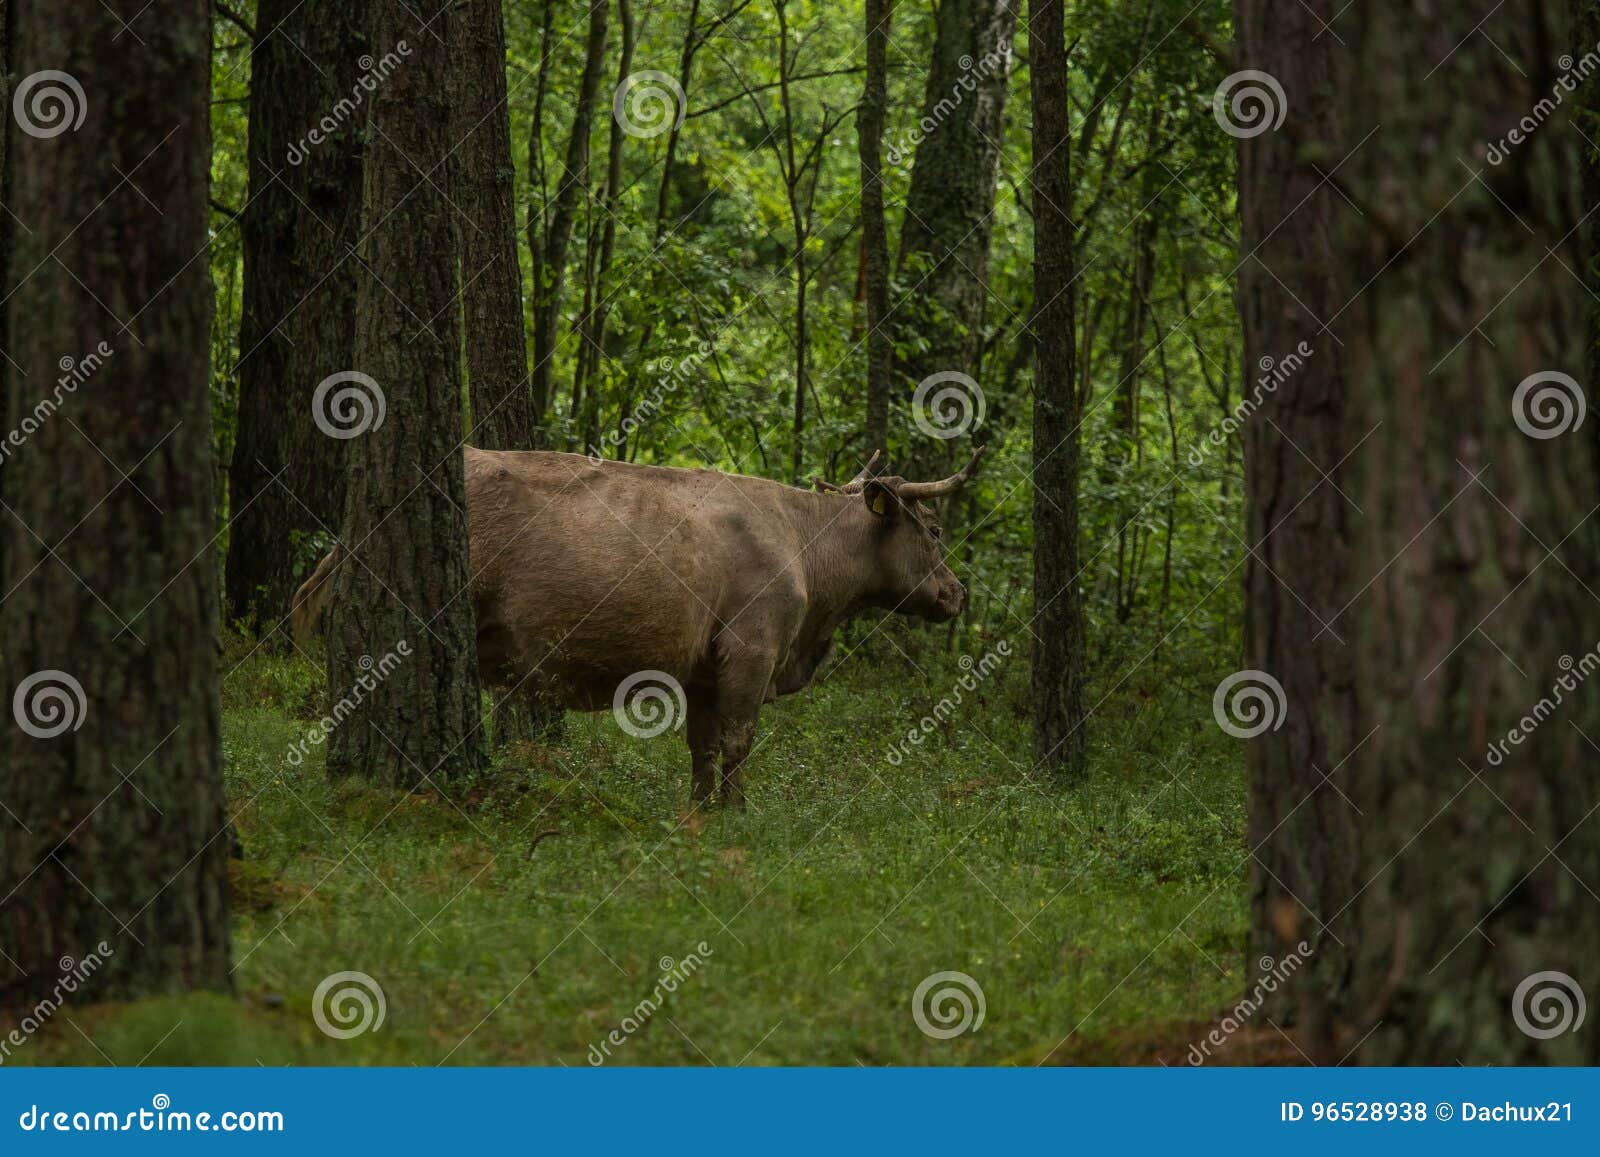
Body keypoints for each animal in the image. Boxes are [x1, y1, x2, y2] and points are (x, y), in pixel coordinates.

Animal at [292, 444, 984, 807]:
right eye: (934, 529)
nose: (957, 593)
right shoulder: (752, 649)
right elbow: (739, 742)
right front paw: (738, 815)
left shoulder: (706, 670)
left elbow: (703, 746)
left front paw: (701, 816)